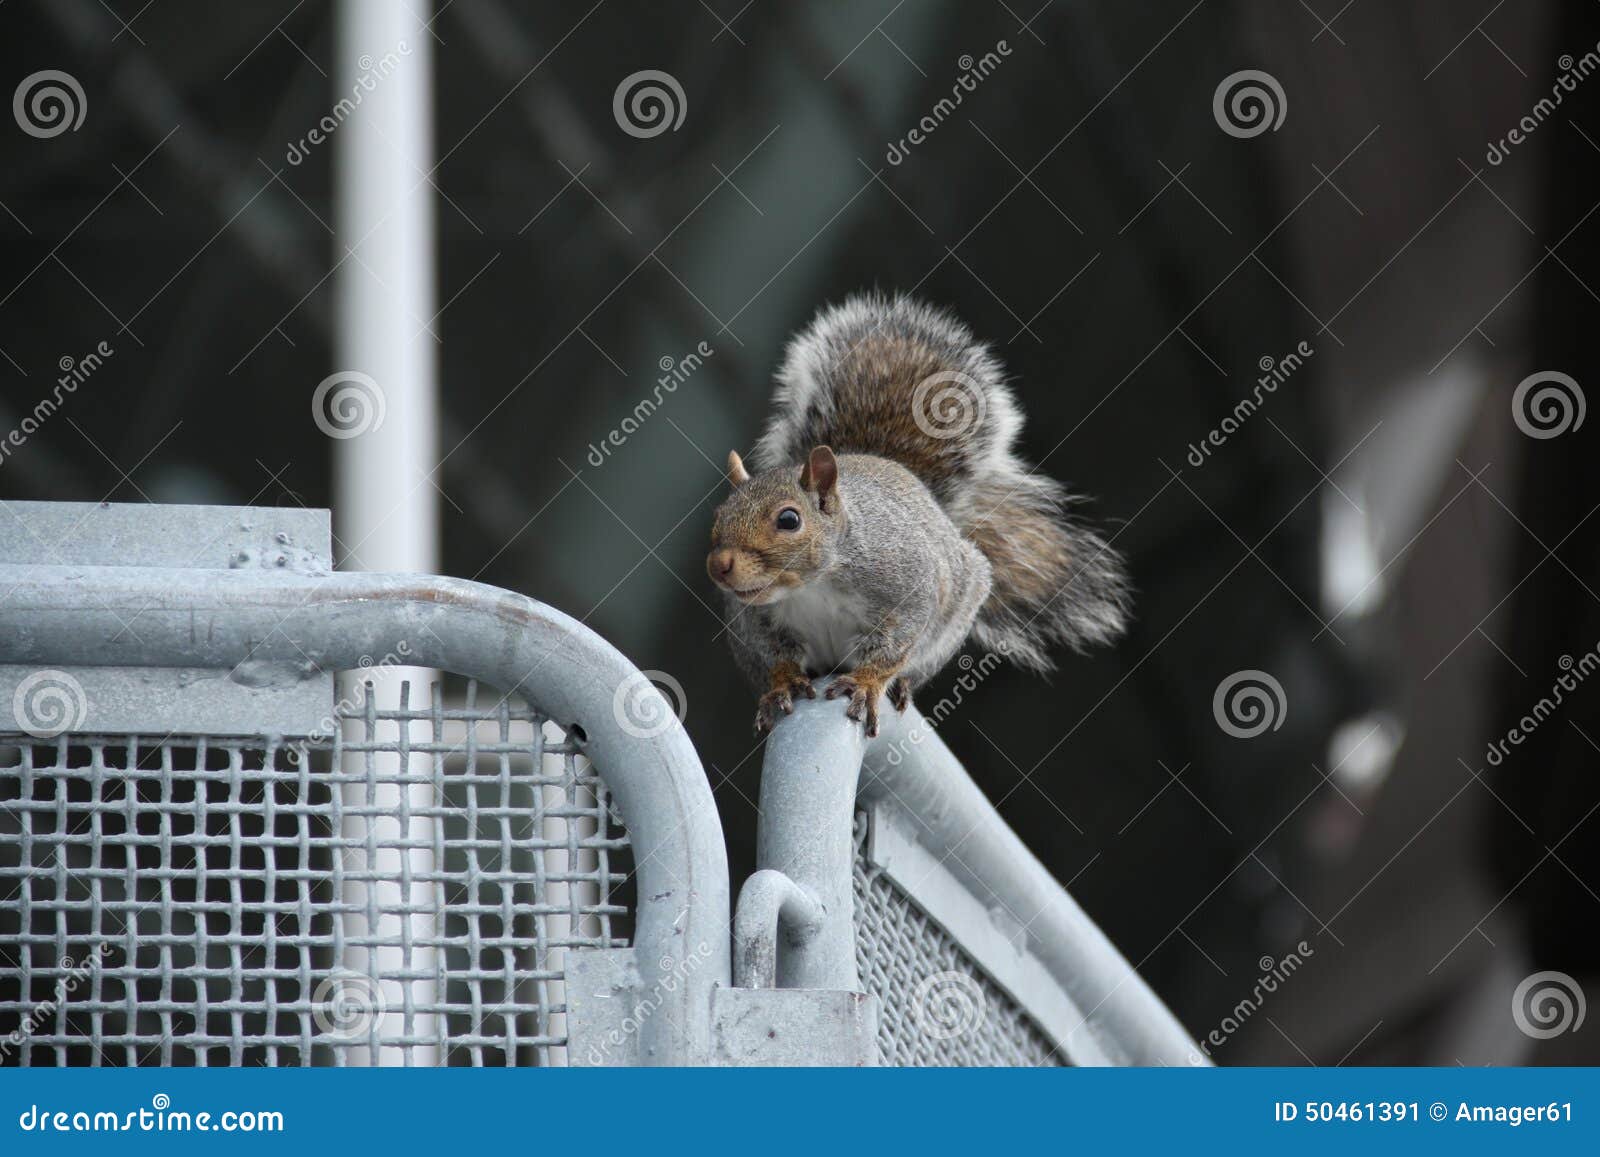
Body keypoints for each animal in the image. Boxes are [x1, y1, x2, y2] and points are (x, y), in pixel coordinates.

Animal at [707, 293, 1130, 737]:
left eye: (789, 520)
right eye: (719, 515)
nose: (719, 566)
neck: (813, 585)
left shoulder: (907, 587)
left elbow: (893, 646)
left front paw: (866, 683)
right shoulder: (756, 621)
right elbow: (776, 654)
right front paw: (783, 682)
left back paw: (902, 685)